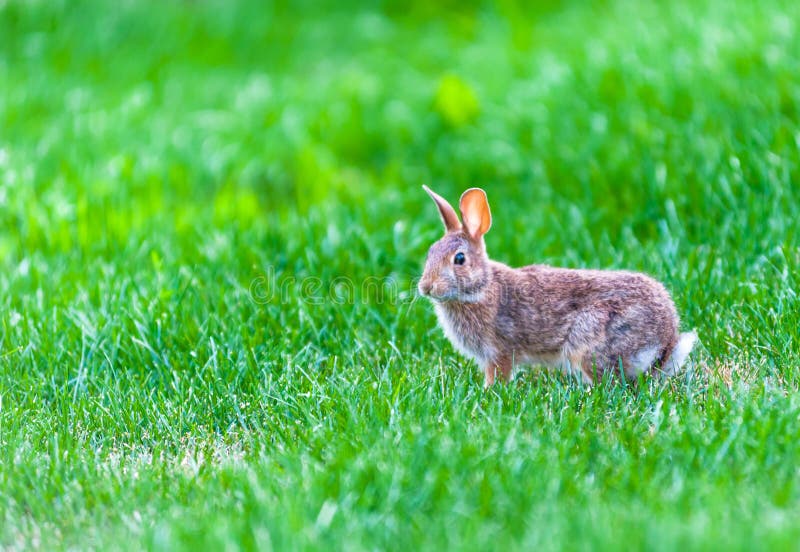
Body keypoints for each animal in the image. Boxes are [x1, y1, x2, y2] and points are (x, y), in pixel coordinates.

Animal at [417, 185, 697, 386]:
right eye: (430, 252)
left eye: (459, 259)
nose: (426, 287)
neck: (482, 286)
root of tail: (665, 340)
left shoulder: (499, 351)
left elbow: (499, 374)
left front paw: (488, 392)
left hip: (589, 340)